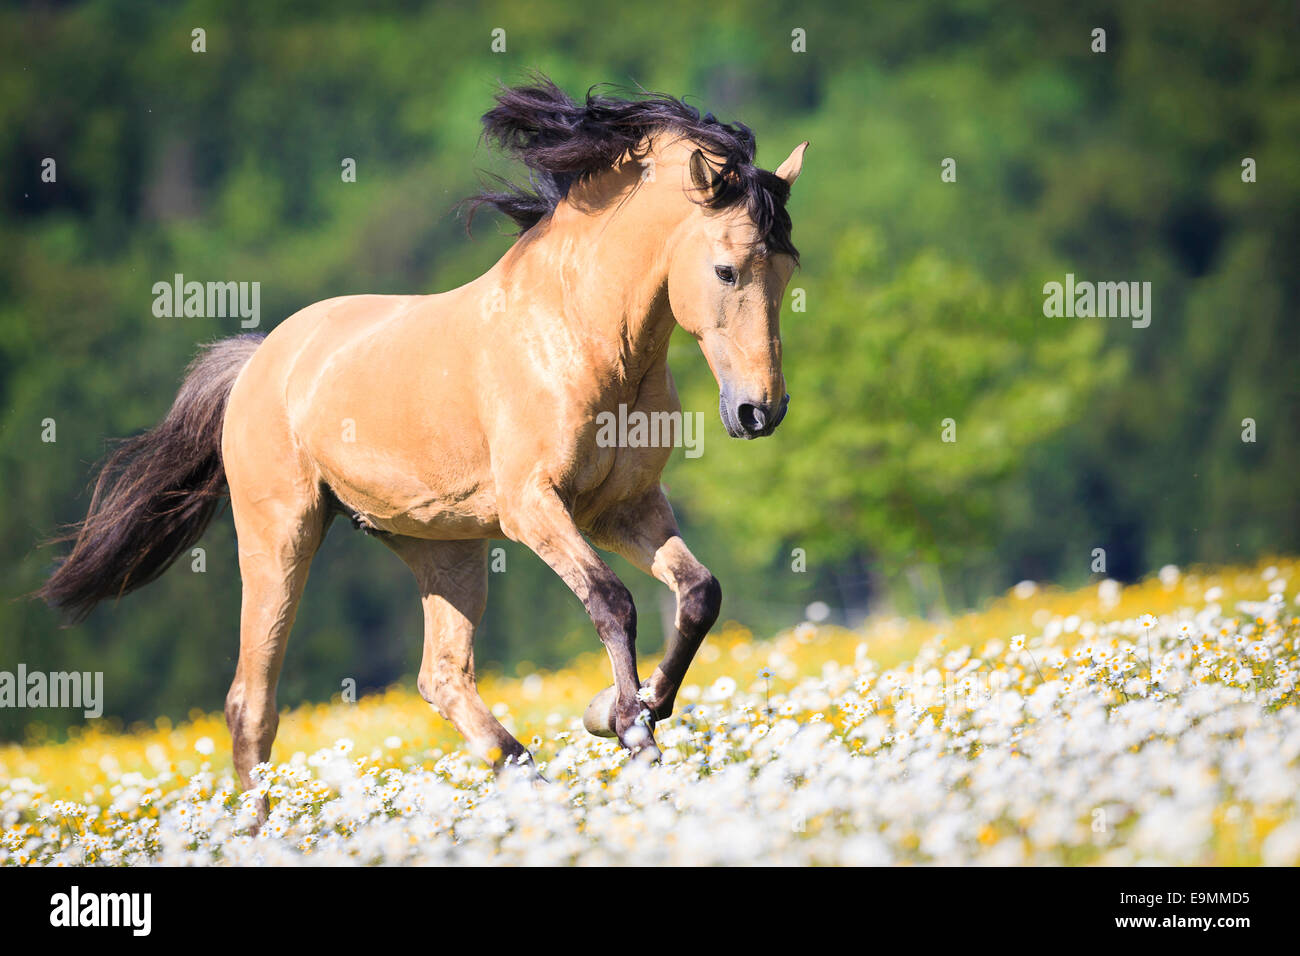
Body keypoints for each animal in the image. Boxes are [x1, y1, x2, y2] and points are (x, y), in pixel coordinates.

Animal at [39, 78, 807, 802]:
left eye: (787, 270)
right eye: (727, 270)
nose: (759, 411)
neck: (584, 337)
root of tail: (260, 361)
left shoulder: (626, 508)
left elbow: (699, 594)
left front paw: (626, 709)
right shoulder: (535, 509)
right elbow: (611, 602)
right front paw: (630, 729)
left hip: (445, 548)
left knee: (440, 676)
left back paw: (524, 774)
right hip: (281, 535)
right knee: (251, 706)